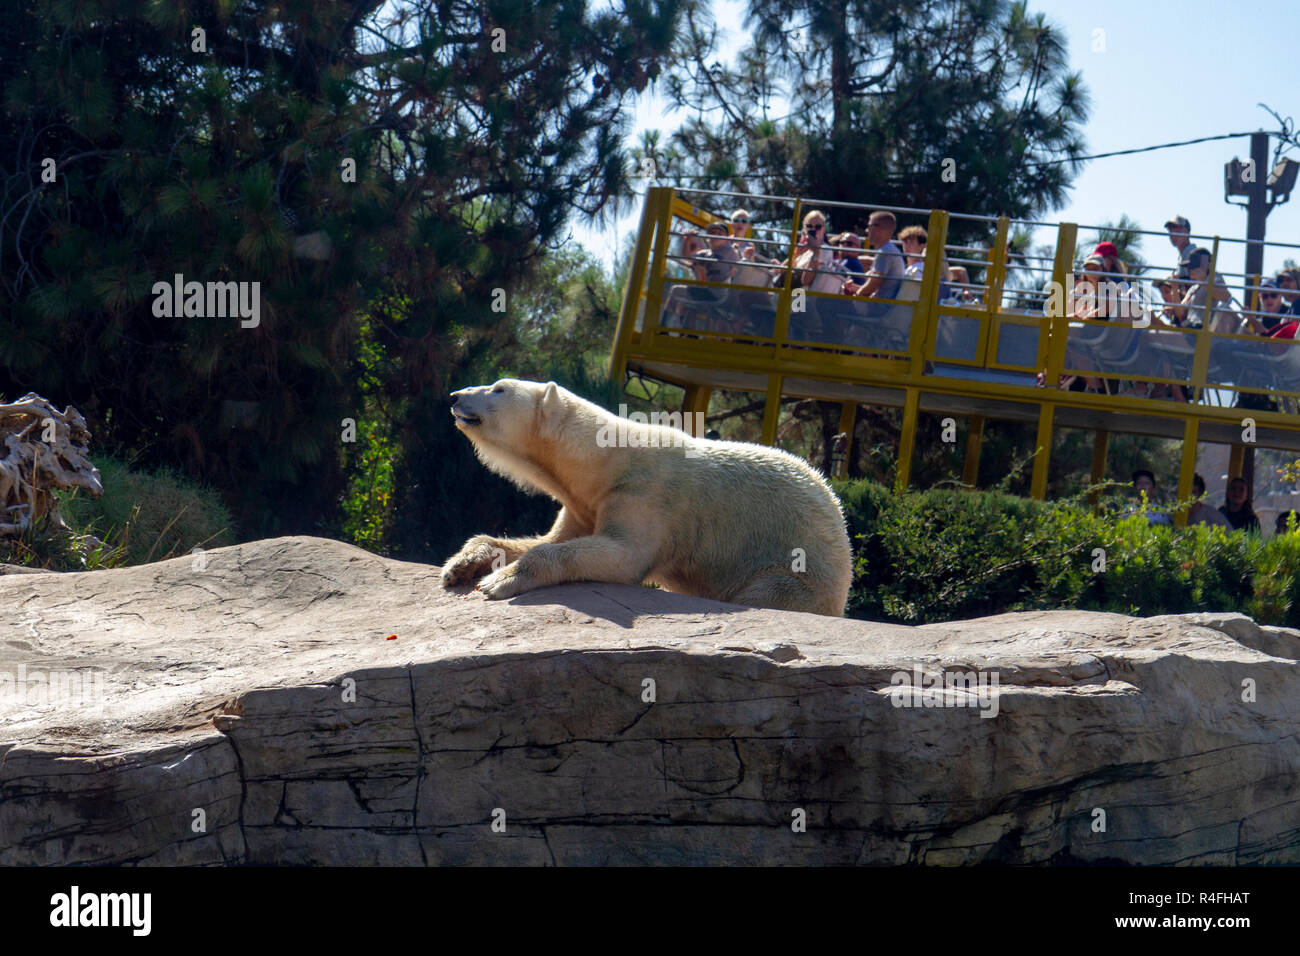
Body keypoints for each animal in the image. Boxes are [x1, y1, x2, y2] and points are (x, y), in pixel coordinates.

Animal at [440, 379, 853, 616]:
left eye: (499, 389)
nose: (456, 395)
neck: (603, 459)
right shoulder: (582, 504)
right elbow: (548, 539)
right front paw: (462, 564)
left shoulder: (643, 492)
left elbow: (623, 555)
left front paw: (499, 581)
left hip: (797, 574)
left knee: (762, 593)